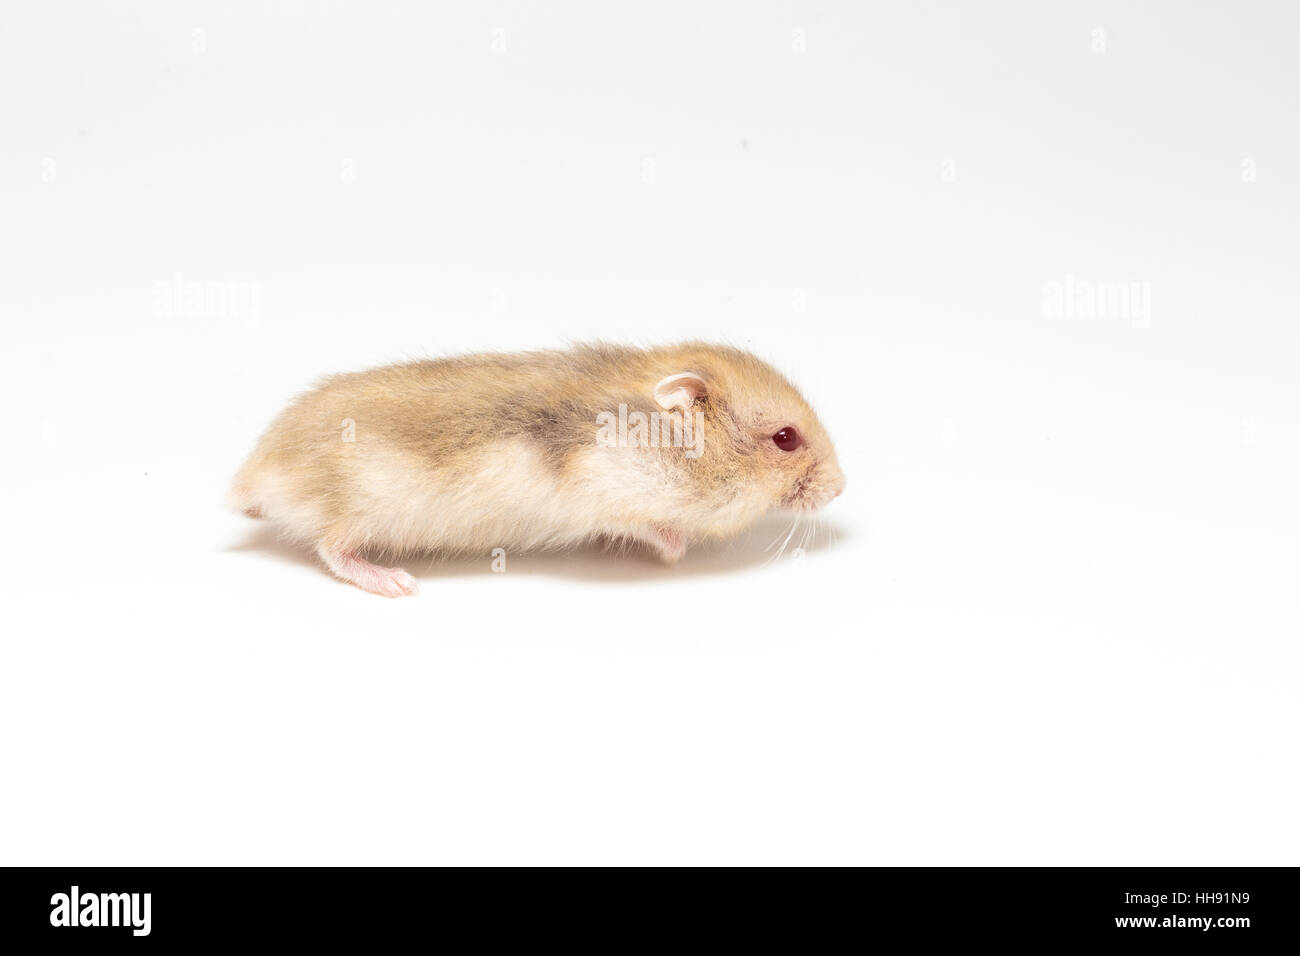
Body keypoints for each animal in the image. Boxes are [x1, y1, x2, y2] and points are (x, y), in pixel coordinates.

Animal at [231, 342, 845, 596]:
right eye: (786, 439)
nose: (842, 489)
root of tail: (252, 475)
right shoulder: (609, 490)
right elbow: (653, 529)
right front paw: (675, 551)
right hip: (357, 508)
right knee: (332, 548)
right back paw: (398, 583)